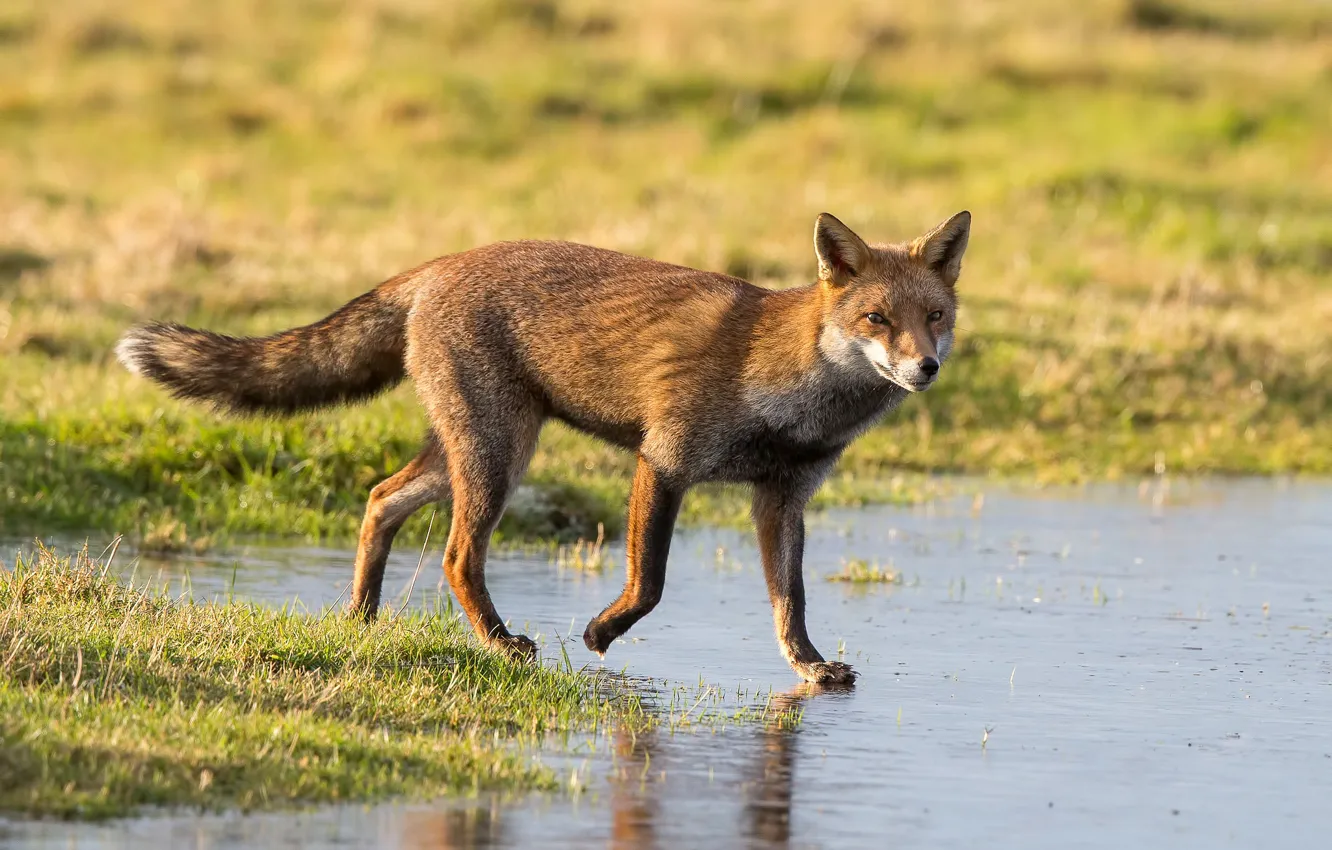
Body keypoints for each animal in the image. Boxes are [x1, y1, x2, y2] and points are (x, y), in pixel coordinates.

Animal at [116, 211, 970, 685]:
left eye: (933, 317)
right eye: (876, 320)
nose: (926, 369)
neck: (792, 392)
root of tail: (438, 264)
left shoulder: (783, 498)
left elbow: (790, 603)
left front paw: (809, 666)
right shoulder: (665, 459)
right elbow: (650, 582)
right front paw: (600, 634)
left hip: (470, 453)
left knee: (379, 498)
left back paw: (360, 618)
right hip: (498, 458)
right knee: (457, 555)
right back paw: (498, 643)